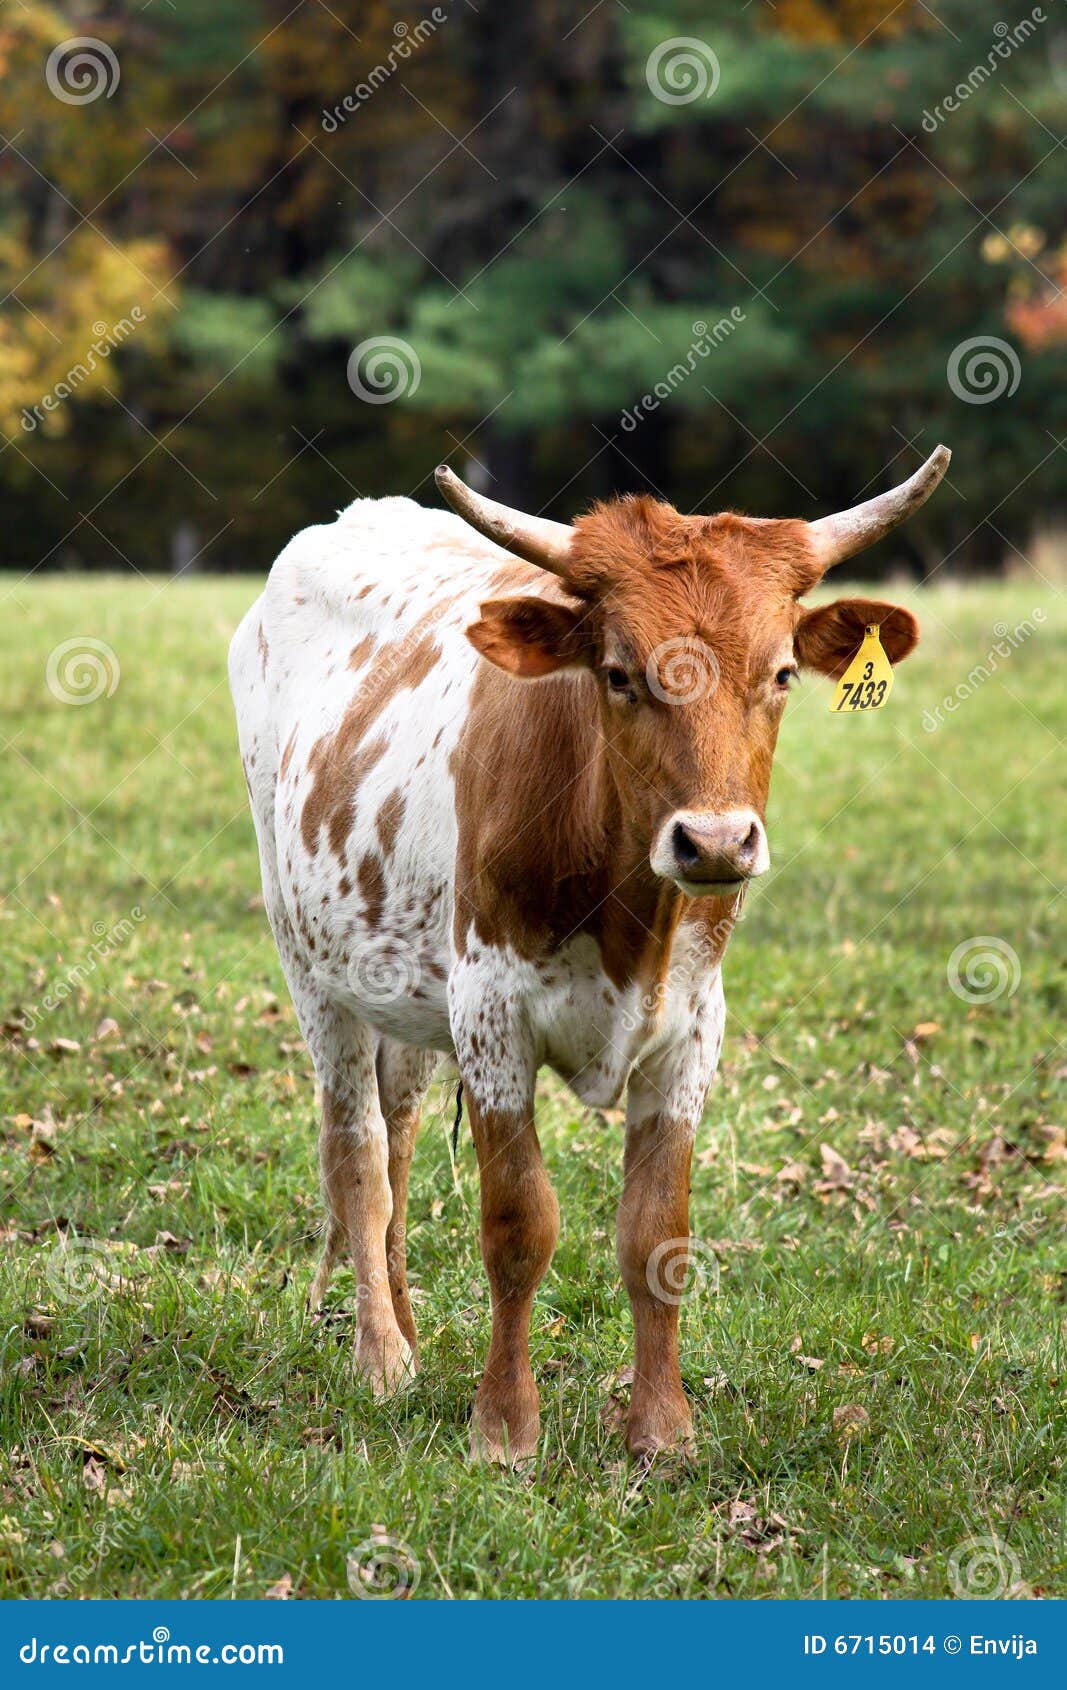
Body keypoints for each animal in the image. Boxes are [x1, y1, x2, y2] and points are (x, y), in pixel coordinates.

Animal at [229, 445, 949, 1462]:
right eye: (617, 673)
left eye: (780, 674)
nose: (715, 842)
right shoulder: (491, 1018)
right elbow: (518, 1226)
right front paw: (504, 1427)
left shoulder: (691, 1032)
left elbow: (655, 1235)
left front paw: (661, 1431)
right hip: (311, 967)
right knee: (358, 1155)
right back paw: (381, 1358)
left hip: (400, 993)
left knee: (397, 1136)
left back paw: (405, 1330)